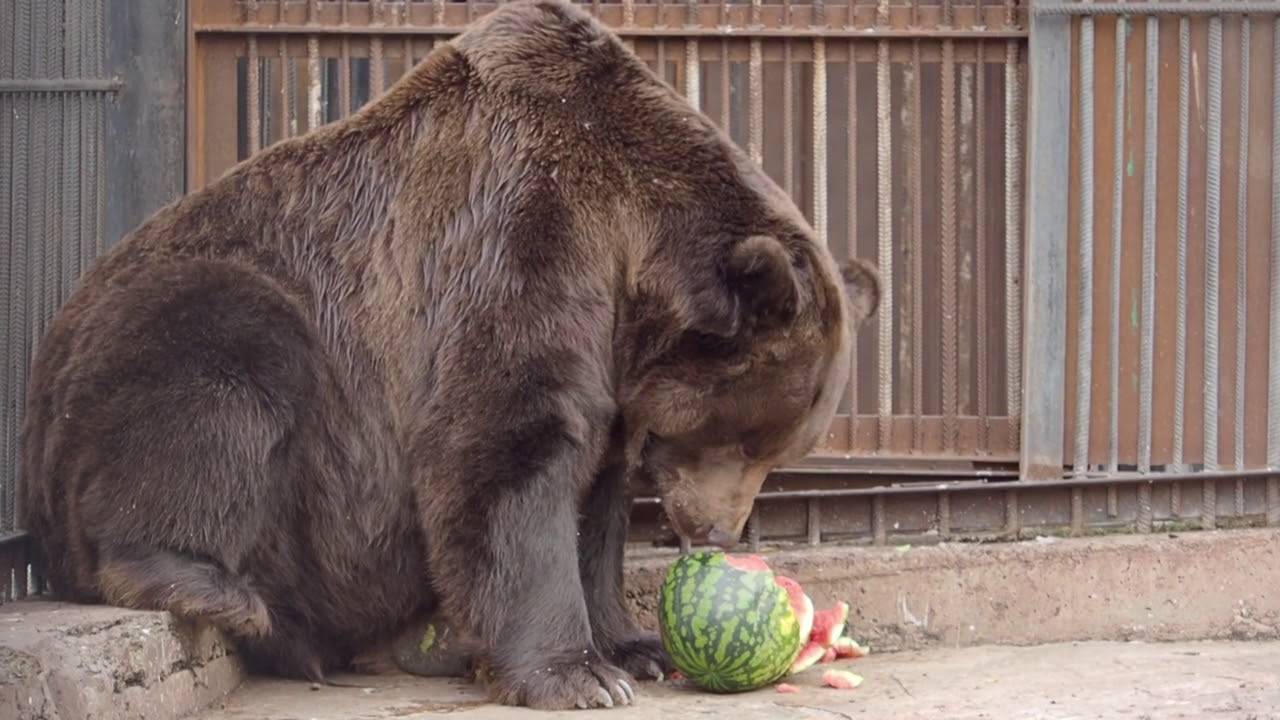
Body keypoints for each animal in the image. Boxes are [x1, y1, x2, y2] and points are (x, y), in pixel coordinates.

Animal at [18, 0, 880, 710]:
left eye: (775, 449)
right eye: (748, 439)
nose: (718, 535)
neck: (626, 244)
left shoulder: (609, 356)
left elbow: (593, 496)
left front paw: (635, 647)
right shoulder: (518, 233)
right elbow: (506, 445)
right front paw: (576, 675)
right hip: (179, 332)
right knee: (218, 373)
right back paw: (207, 584)